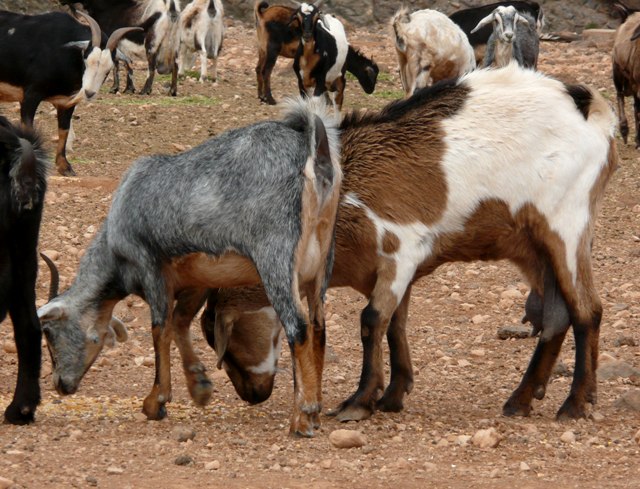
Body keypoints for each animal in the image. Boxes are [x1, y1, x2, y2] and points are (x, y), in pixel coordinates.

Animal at [0, 11, 138, 176]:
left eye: (107, 69)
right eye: (86, 61)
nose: (89, 93)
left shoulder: (66, 102)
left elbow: (63, 131)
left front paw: (64, 167)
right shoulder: (30, 96)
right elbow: (28, 129)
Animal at [37, 97, 342, 438]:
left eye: (48, 333)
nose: (60, 384)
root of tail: (313, 148)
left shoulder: (148, 264)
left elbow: (160, 327)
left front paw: (155, 402)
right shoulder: (198, 281)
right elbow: (181, 323)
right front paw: (200, 386)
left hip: (276, 257)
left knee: (297, 326)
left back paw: (303, 416)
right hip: (322, 263)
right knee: (318, 327)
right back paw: (314, 411)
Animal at [194, 65, 617, 424]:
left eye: (228, 346)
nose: (252, 395)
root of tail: (590, 108)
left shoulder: (402, 250)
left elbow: (371, 321)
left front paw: (359, 401)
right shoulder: (392, 272)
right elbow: (395, 325)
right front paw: (393, 394)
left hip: (566, 226)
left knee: (587, 310)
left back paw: (576, 403)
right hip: (533, 247)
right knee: (556, 316)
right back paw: (522, 398)